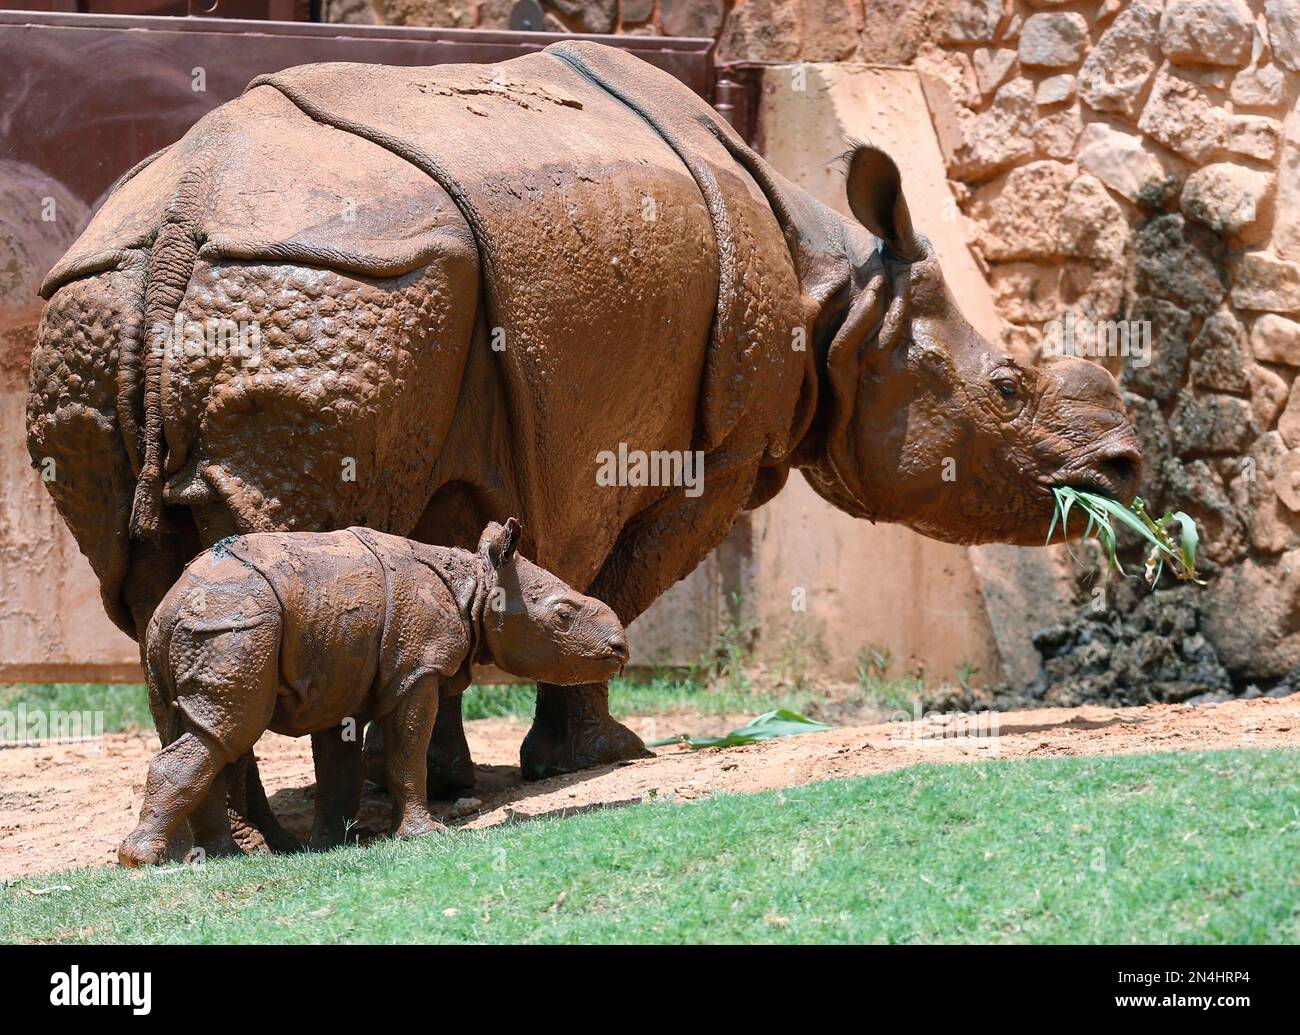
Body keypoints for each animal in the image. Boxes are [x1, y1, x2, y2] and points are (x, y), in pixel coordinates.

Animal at [119, 518, 627, 866]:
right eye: (563, 617)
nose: (620, 649)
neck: (479, 585)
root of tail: (175, 604)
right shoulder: (418, 670)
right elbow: (407, 754)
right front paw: (425, 836)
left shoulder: (335, 672)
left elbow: (338, 768)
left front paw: (331, 845)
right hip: (234, 624)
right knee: (227, 731)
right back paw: (142, 862)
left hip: (182, 630)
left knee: (198, 730)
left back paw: (219, 859)